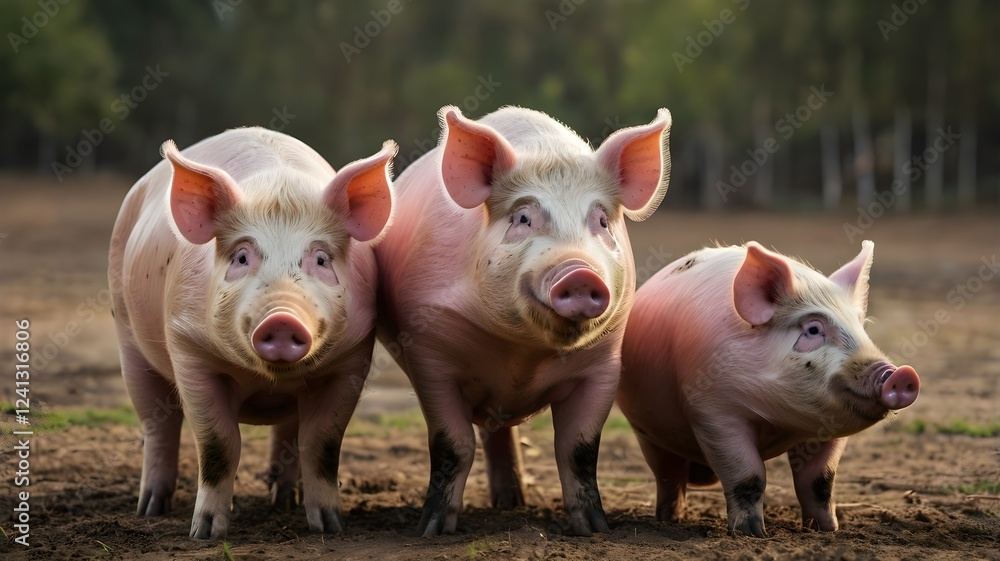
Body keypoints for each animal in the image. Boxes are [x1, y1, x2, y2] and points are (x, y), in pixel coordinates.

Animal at [108, 127, 397, 539]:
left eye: (321, 259)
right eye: (242, 257)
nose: (282, 319)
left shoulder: (353, 356)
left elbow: (322, 443)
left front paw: (330, 528)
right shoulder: (188, 347)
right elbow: (218, 444)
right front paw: (204, 534)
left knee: (289, 431)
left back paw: (283, 501)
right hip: (127, 337)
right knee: (156, 423)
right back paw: (150, 510)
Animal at [375, 105, 672, 536]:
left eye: (601, 221)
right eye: (523, 218)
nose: (579, 273)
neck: (523, 354)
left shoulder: (604, 362)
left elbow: (580, 448)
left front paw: (595, 529)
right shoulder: (431, 357)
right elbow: (452, 445)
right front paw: (432, 530)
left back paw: (513, 503)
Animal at [618, 241, 921, 537]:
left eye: (861, 327)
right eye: (813, 330)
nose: (900, 374)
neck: (782, 421)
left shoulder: (830, 432)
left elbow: (820, 482)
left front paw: (828, 530)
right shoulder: (713, 412)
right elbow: (748, 476)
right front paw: (752, 534)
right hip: (648, 435)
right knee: (669, 476)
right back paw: (669, 520)